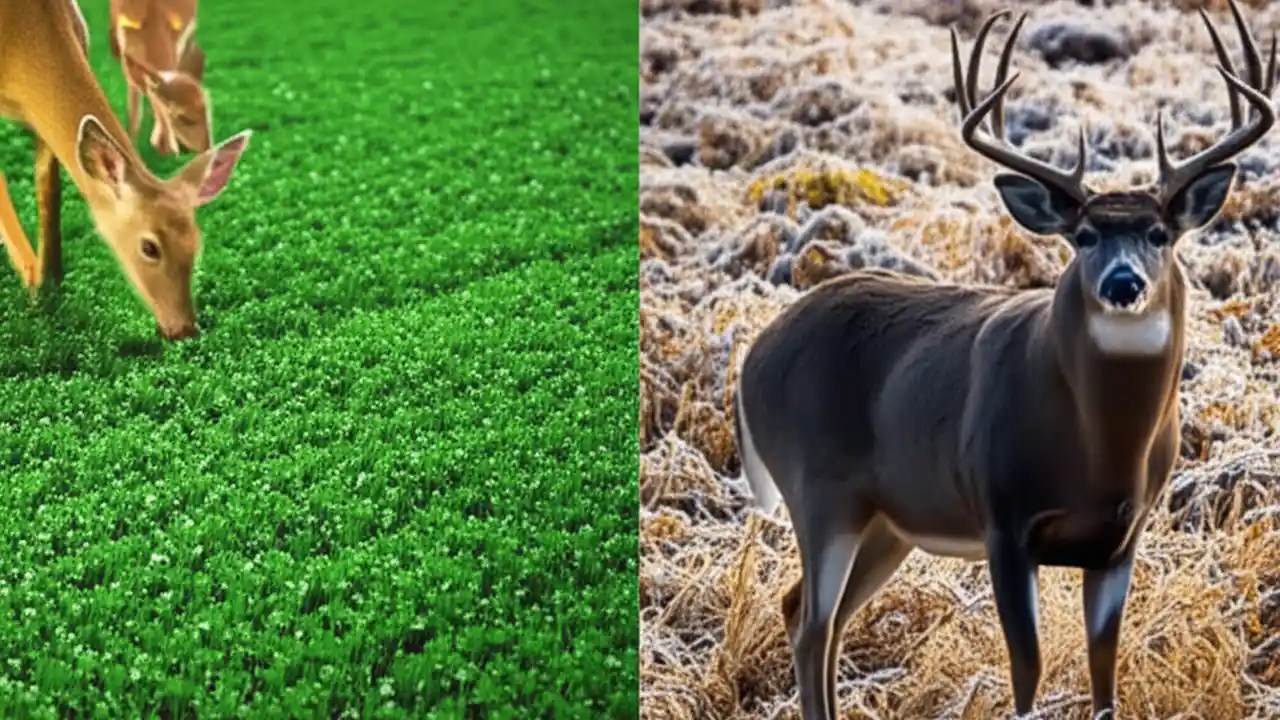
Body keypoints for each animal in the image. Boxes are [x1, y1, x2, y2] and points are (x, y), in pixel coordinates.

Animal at [732, 3, 1275, 718]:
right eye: (1084, 236)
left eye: (1160, 233)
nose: (1123, 283)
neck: (1099, 453)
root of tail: (753, 358)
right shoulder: (1004, 518)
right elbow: (1027, 668)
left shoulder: (1122, 539)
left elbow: (1104, 670)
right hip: (818, 488)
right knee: (812, 621)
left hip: (888, 521)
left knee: (813, 613)